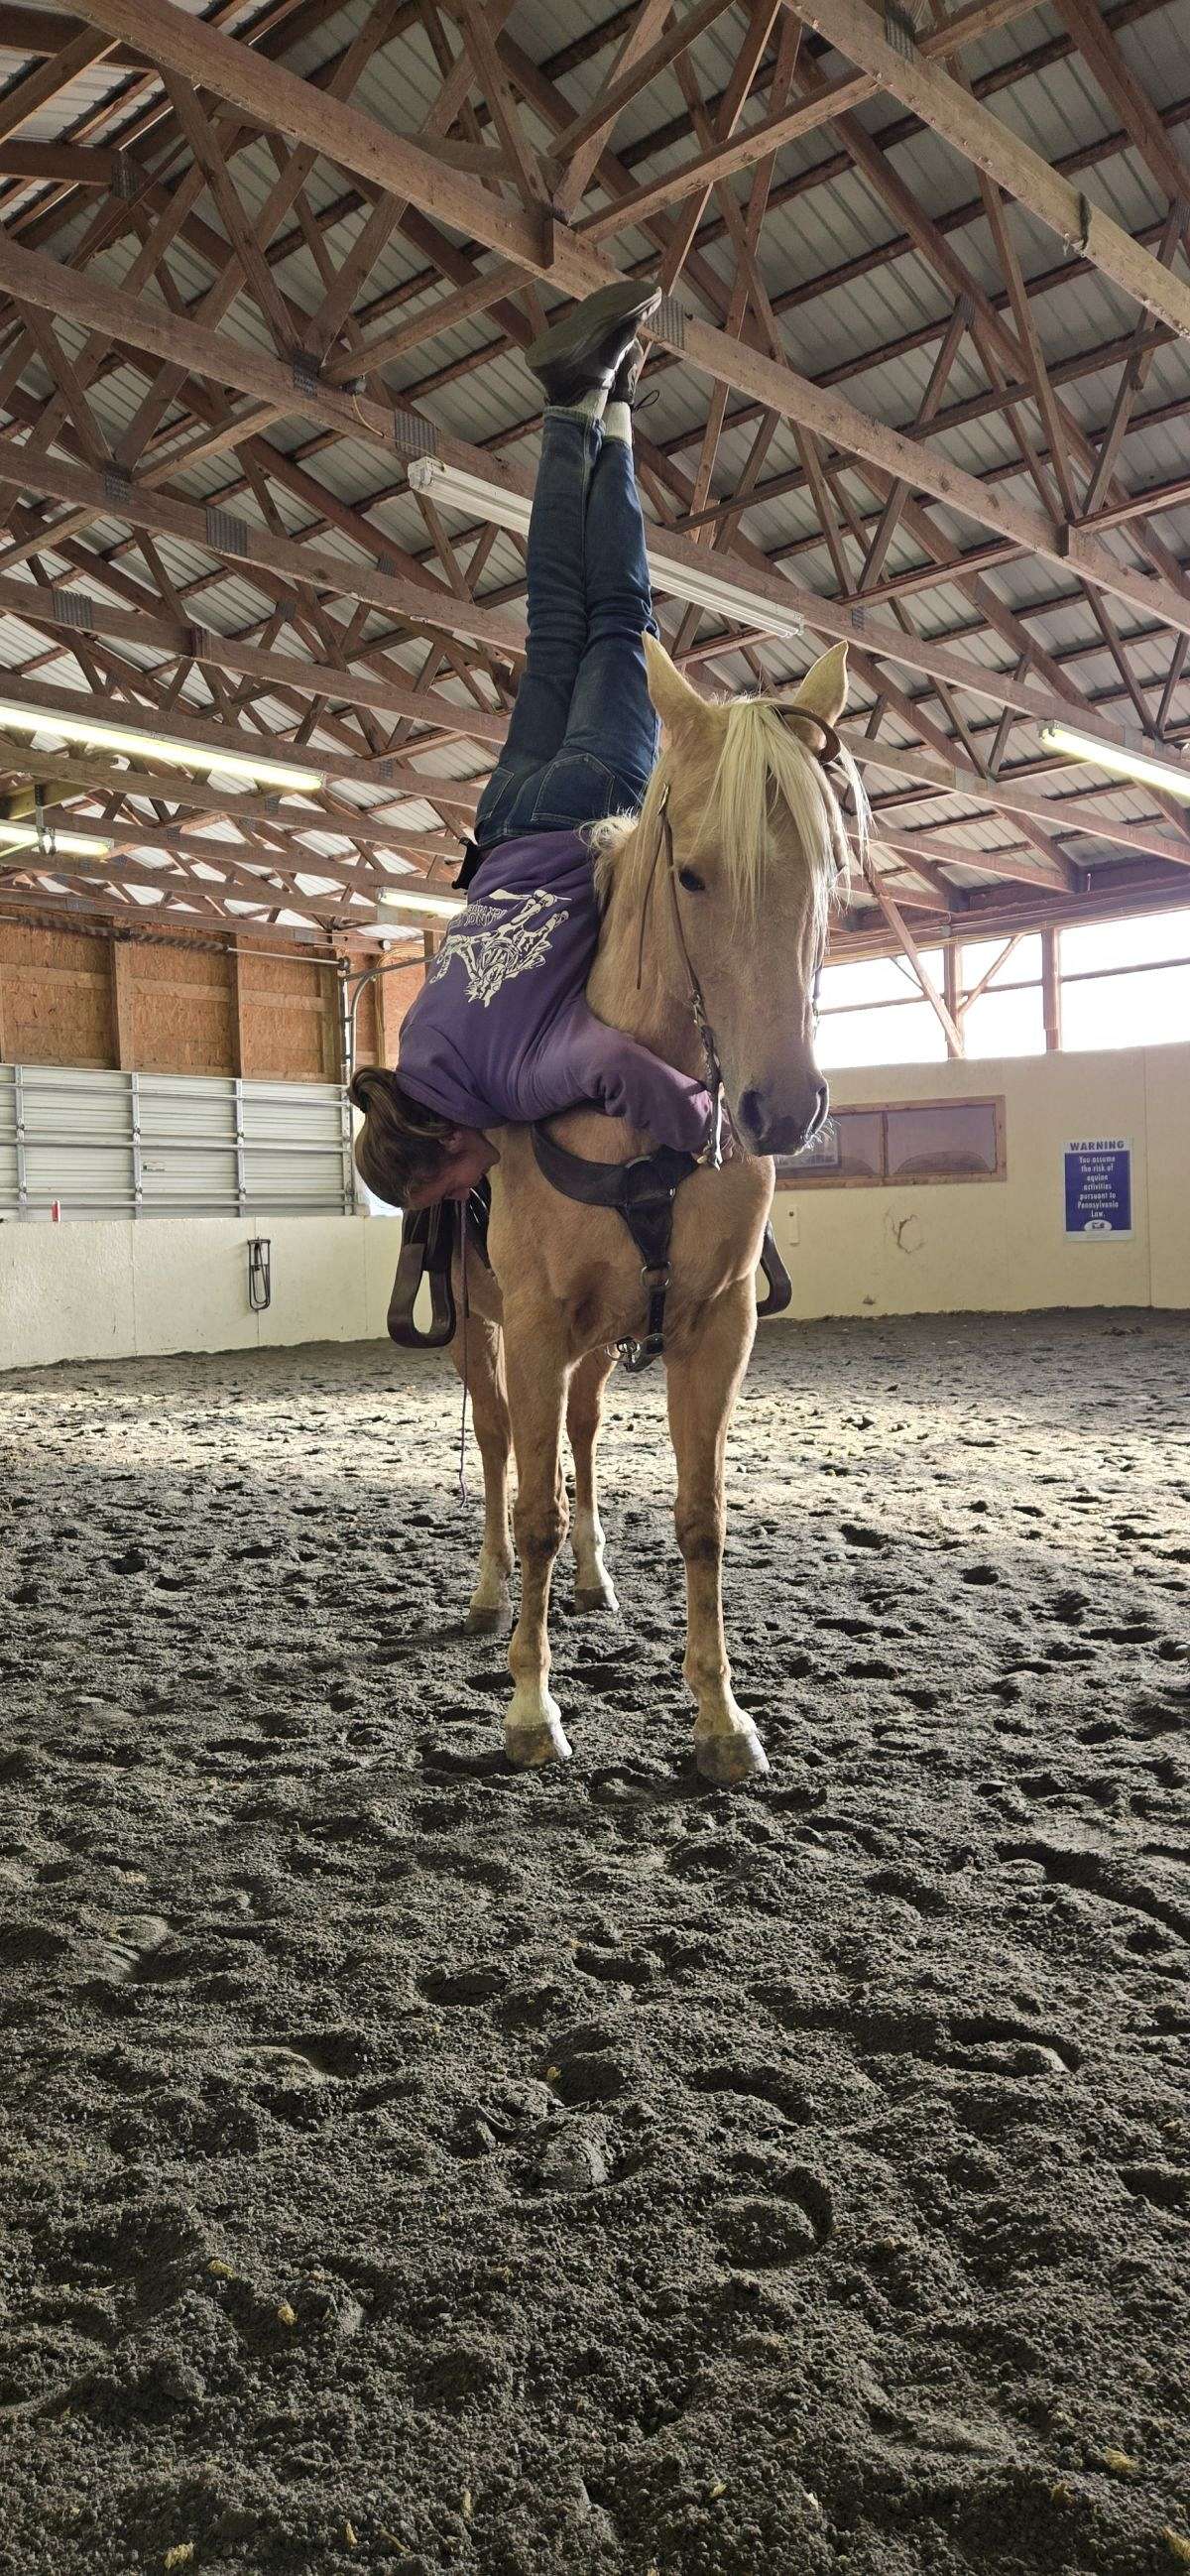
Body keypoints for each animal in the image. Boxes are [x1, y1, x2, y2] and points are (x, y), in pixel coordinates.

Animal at [448, 632, 856, 1787]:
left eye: (824, 870)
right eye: (693, 874)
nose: (783, 1106)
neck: (637, 1107)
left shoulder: (715, 1323)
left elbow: (701, 1516)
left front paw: (721, 1717)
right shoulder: (536, 1323)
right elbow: (532, 1507)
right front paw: (530, 1706)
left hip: (597, 1342)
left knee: (581, 1437)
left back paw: (594, 1580)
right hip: (479, 1328)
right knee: (499, 1446)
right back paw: (491, 1592)